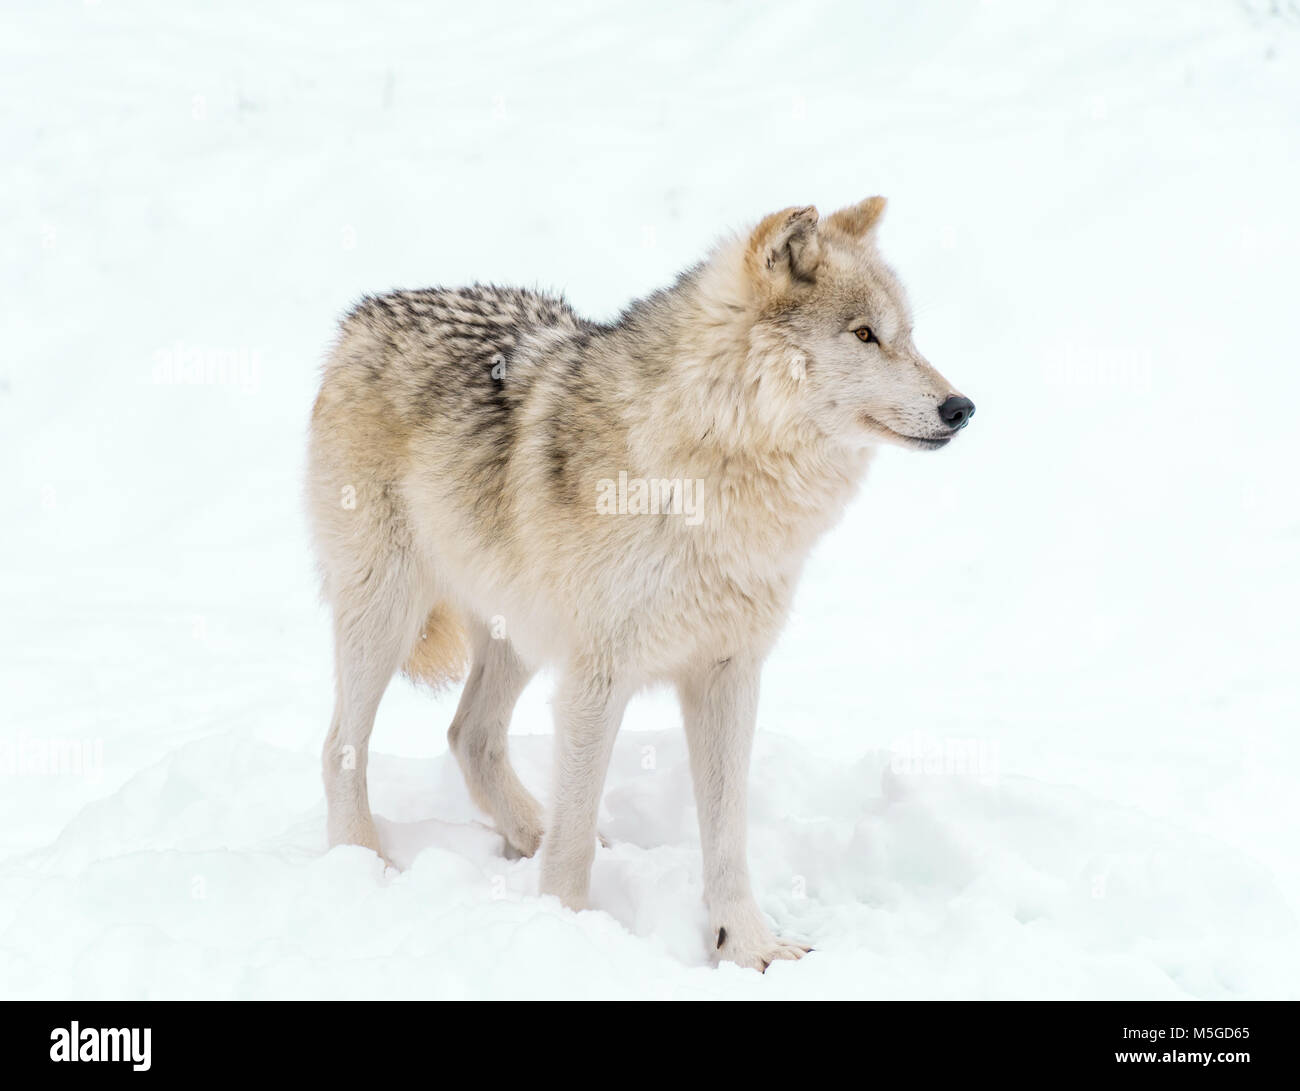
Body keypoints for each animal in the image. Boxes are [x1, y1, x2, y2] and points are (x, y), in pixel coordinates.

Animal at [306, 197, 975, 971]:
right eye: (865, 334)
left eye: (907, 336)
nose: (962, 408)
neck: (708, 478)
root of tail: (365, 315)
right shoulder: (598, 678)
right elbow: (573, 847)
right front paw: (567, 933)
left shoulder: (728, 672)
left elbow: (727, 835)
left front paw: (748, 946)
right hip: (387, 615)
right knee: (341, 746)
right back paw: (363, 865)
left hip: (519, 633)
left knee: (469, 734)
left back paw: (525, 831)